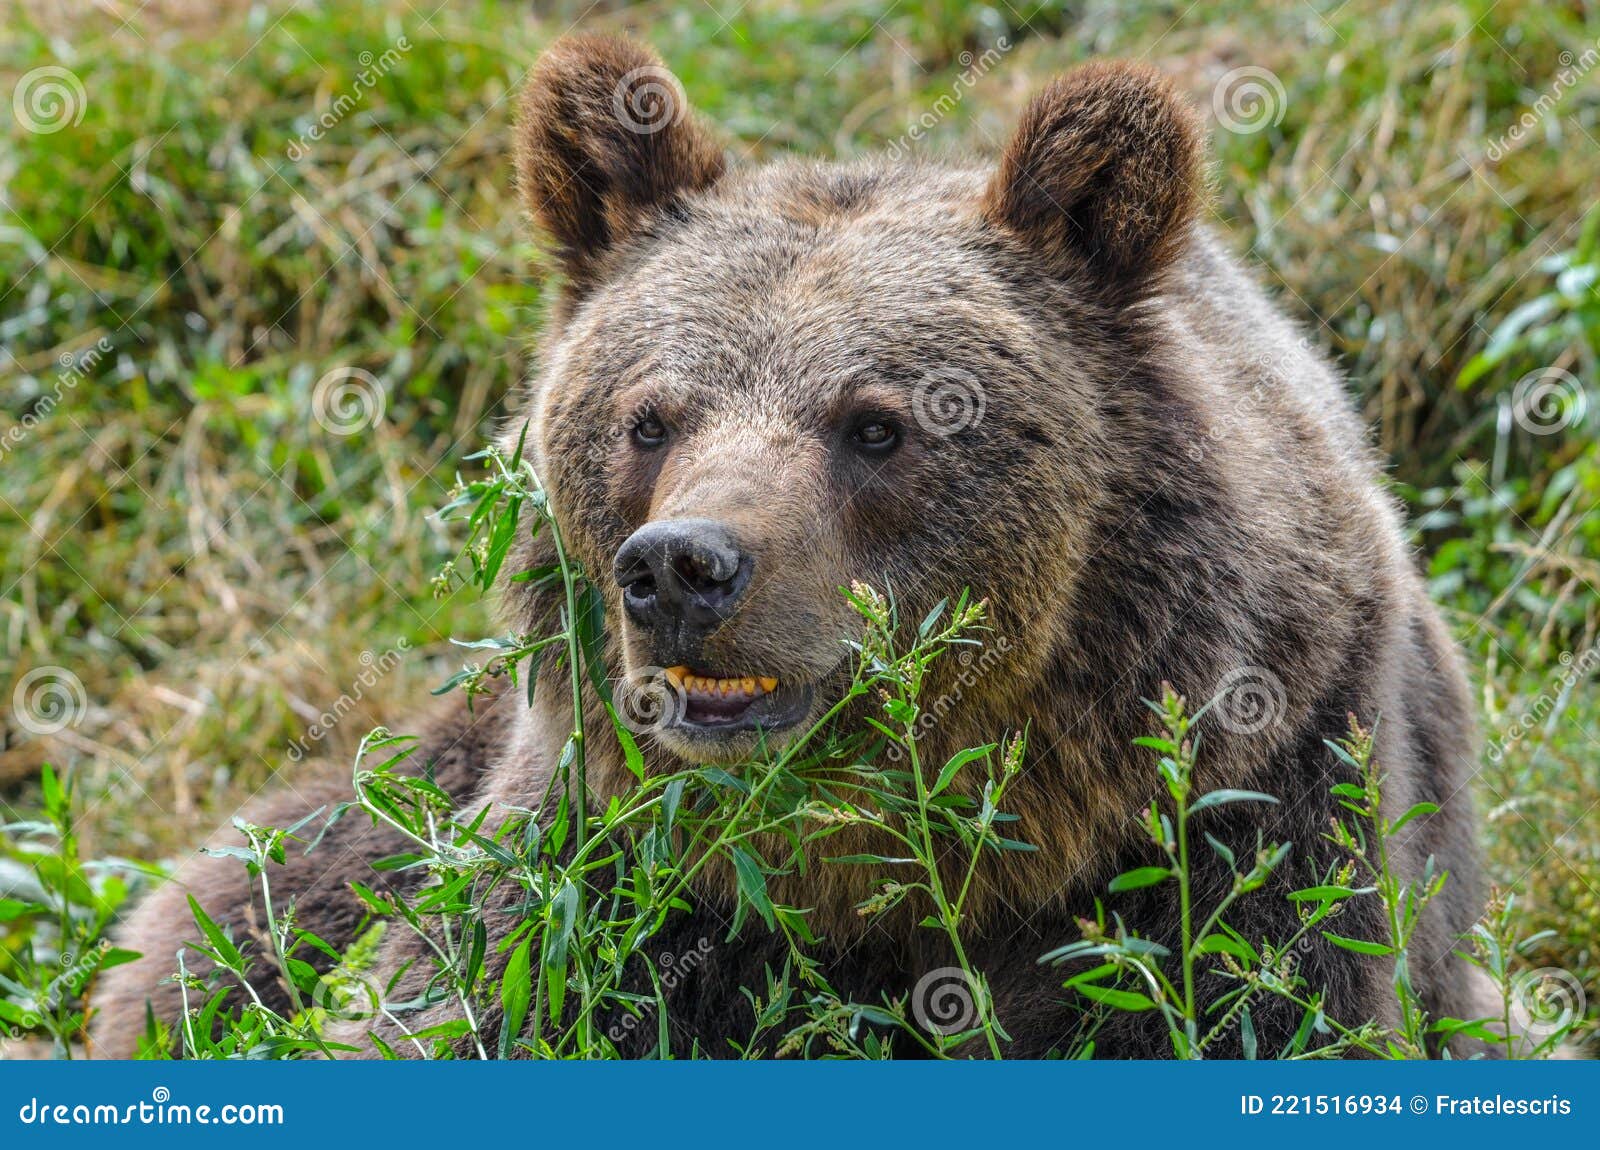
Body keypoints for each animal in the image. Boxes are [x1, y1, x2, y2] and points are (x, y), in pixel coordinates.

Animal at [91, 33, 1489, 1060]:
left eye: (878, 423)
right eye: (649, 417)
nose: (680, 568)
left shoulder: (1246, 799)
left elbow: (1261, 999)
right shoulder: (613, 858)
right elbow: (457, 997)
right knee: (228, 917)